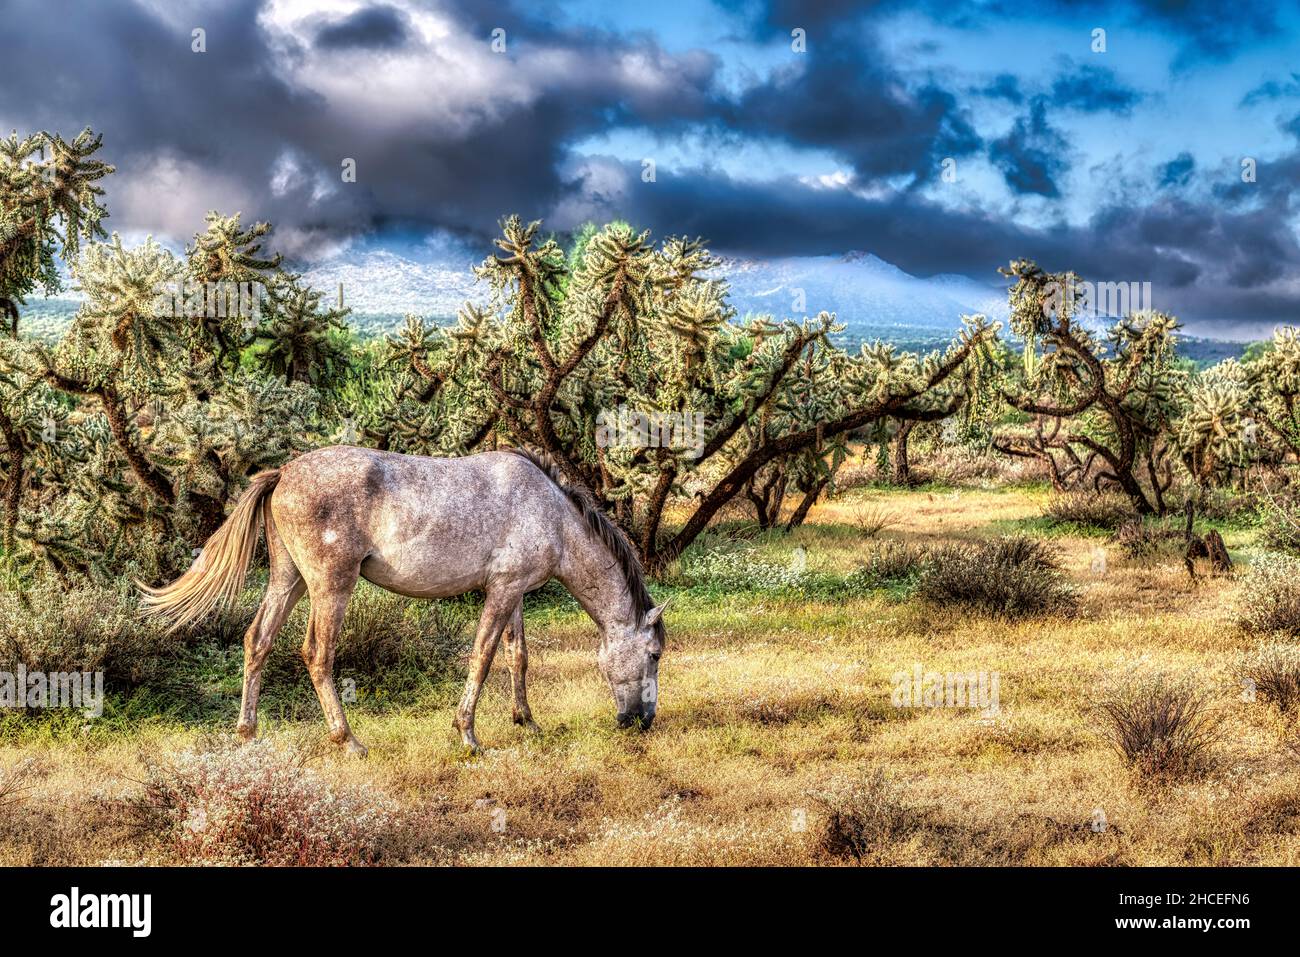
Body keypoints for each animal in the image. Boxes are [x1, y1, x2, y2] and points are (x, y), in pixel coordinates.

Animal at [139, 445, 666, 754]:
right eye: (655, 654)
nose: (642, 722)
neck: (551, 513)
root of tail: (284, 473)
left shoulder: (512, 591)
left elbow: (517, 655)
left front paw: (526, 721)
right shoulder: (502, 592)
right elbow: (482, 657)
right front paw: (468, 735)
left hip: (287, 580)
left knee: (257, 642)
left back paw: (248, 734)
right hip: (331, 585)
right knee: (317, 654)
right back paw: (348, 741)